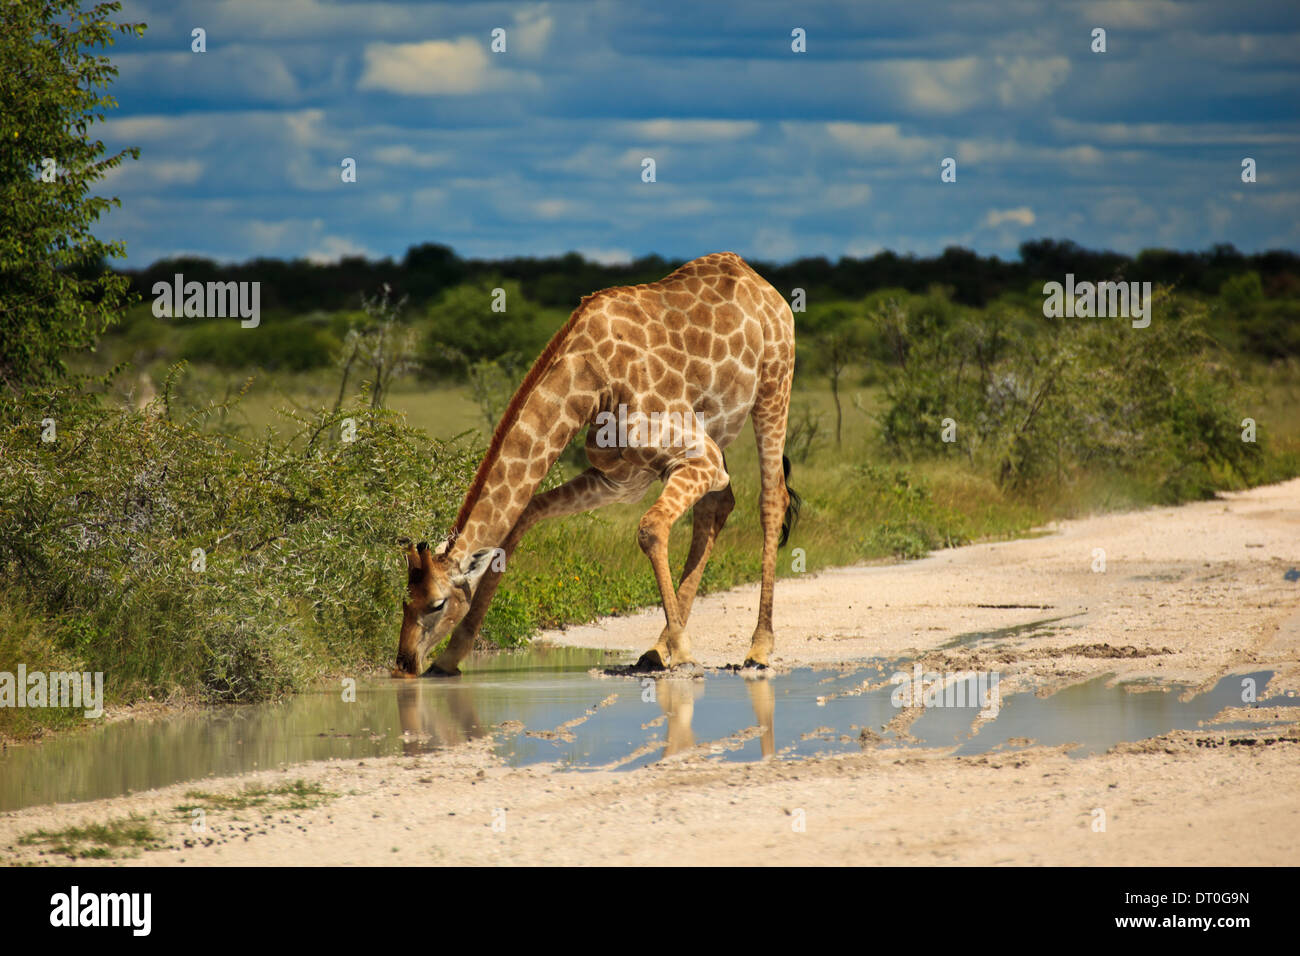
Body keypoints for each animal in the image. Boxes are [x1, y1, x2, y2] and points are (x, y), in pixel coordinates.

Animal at [394, 251, 798, 677]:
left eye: (436, 604)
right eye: (404, 601)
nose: (404, 664)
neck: (592, 379)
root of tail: (758, 280)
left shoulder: (698, 458)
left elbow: (650, 529)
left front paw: (686, 655)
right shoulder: (621, 479)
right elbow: (524, 515)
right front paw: (450, 658)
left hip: (774, 383)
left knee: (772, 500)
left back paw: (757, 649)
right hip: (717, 429)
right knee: (718, 505)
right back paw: (656, 650)